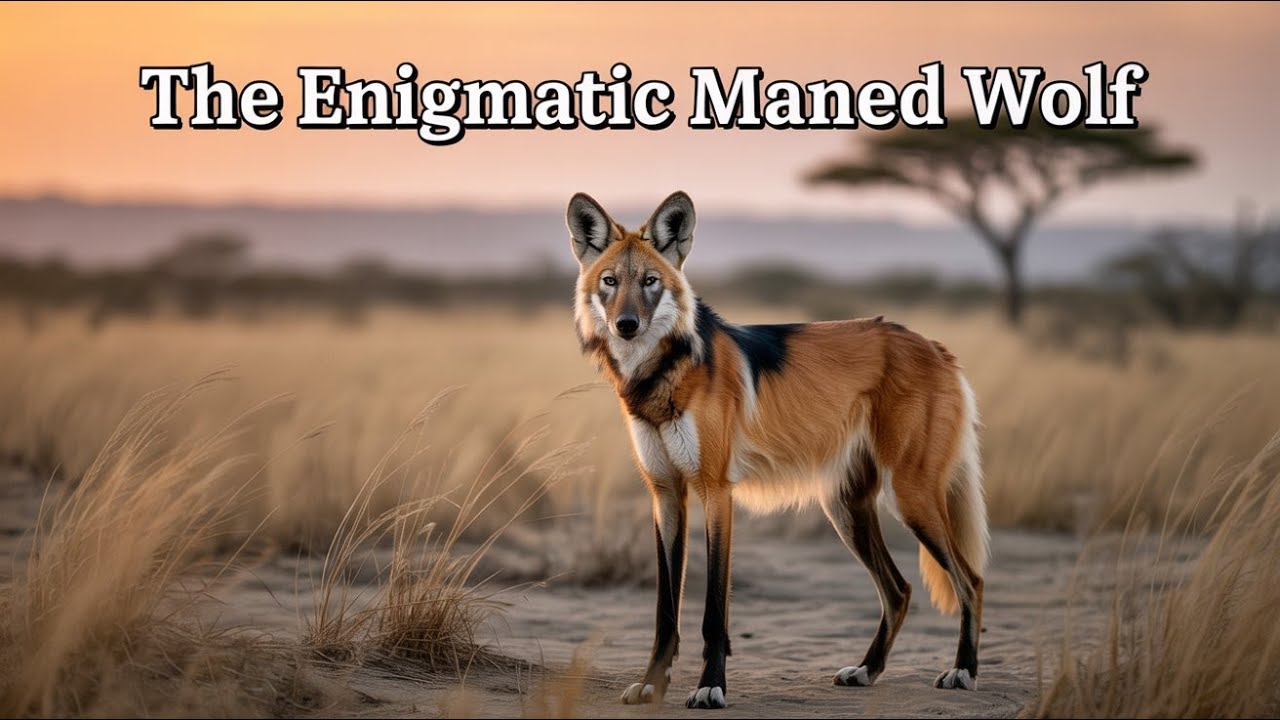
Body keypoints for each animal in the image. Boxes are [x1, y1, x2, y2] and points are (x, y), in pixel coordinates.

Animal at [567, 191, 988, 709]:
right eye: (610, 282)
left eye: (649, 282)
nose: (626, 325)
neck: (661, 379)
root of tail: (935, 346)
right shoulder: (665, 496)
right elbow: (666, 612)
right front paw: (652, 683)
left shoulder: (716, 493)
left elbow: (713, 612)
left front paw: (711, 687)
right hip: (845, 509)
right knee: (900, 589)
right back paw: (868, 670)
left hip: (909, 499)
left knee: (970, 581)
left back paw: (964, 671)